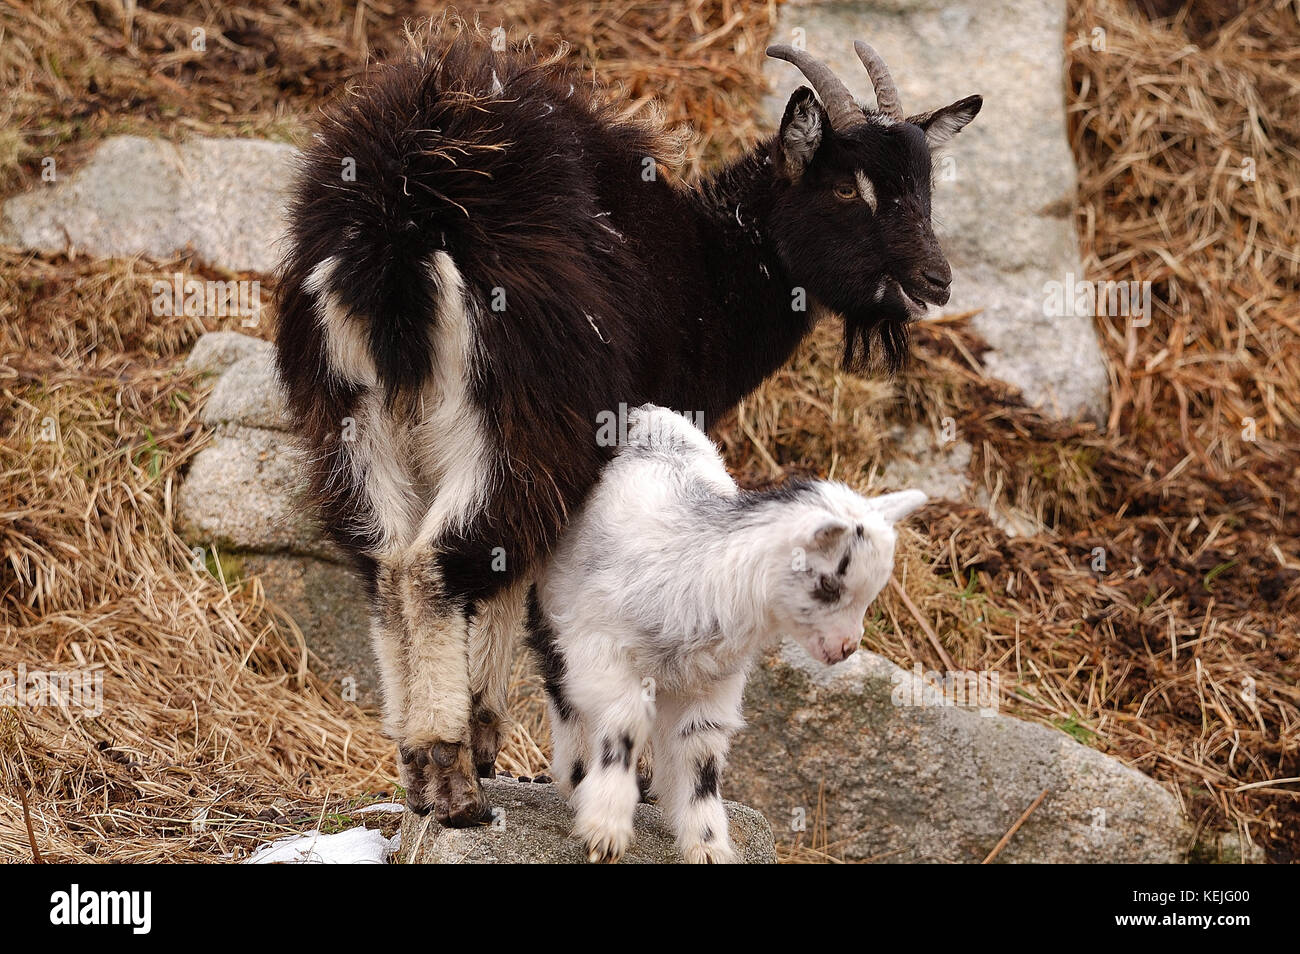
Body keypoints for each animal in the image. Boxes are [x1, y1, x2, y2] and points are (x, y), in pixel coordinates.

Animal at [528, 404, 926, 862]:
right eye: (829, 585)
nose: (846, 648)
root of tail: (646, 412)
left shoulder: (711, 687)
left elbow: (701, 761)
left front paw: (707, 846)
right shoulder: (598, 647)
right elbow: (626, 721)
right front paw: (605, 829)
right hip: (552, 606)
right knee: (562, 691)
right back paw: (576, 779)